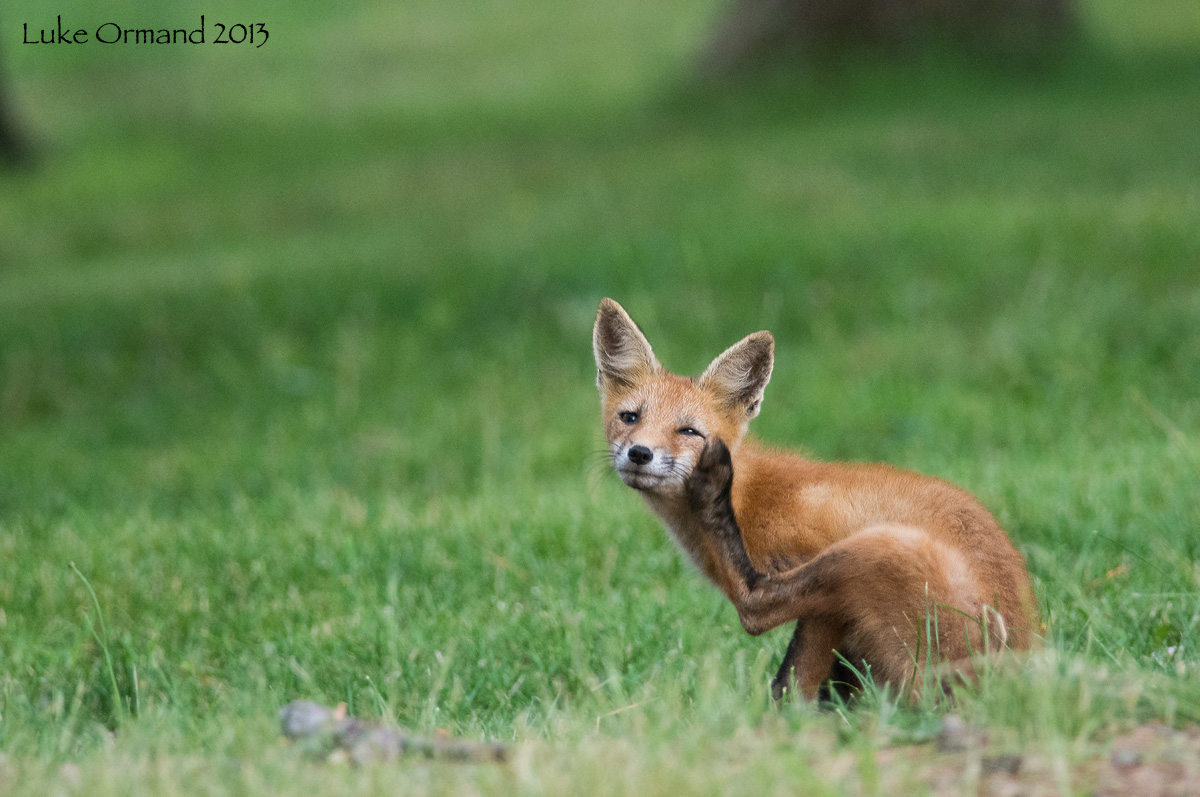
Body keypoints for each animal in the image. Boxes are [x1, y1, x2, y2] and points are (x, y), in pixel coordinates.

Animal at [592, 297, 1040, 700]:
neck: (748, 499)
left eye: (688, 431)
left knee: (752, 606)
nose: (640, 453)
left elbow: (795, 674)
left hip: (880, 547)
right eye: (630, 418)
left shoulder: (825, 594)